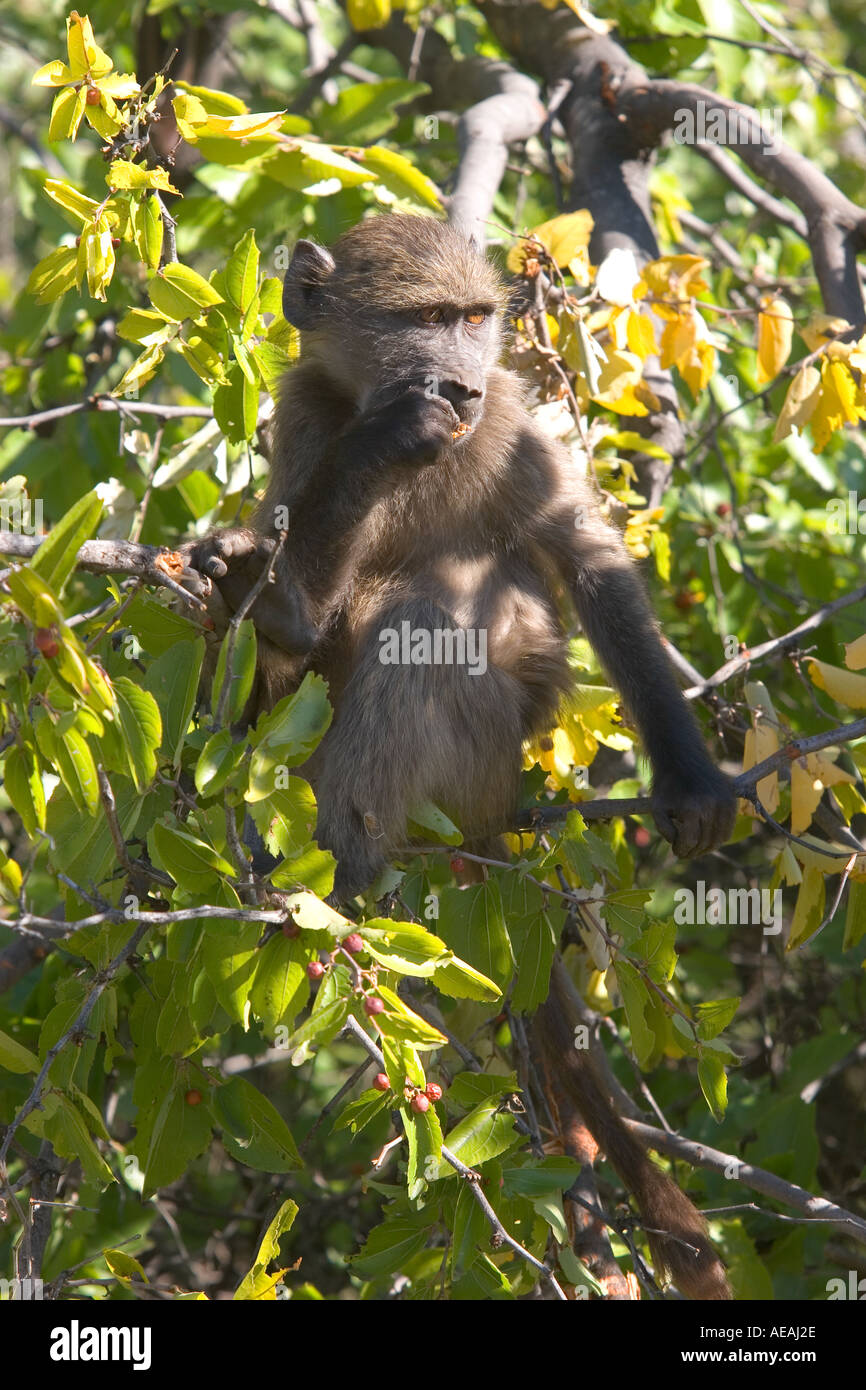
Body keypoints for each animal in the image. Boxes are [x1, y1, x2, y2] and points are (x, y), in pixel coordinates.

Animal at [183, 213, 736, 1298]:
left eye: (475, 318)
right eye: (425, 318)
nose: (459, 385)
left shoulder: (514, 425)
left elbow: (584, 560)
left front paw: (688, 780)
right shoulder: (303, 414)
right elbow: (290, 651)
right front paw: (361, 475)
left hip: (487, 760)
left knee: (427, 622)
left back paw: (340, 891)